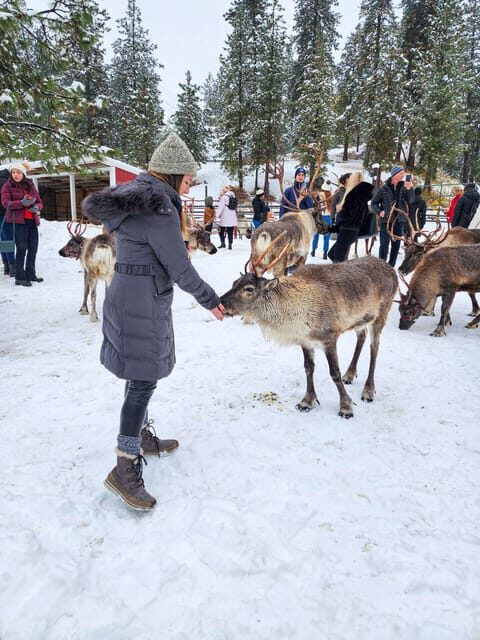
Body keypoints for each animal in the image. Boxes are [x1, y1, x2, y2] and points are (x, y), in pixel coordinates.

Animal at [220, 255, 398, 418]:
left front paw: (346, 407)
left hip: (381, 314)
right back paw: (349, 374)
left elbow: (334, 373)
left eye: (249, 289)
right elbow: (308, 368)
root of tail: (392, 269)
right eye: (234, 283)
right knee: (362, 336)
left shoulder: (329, 337)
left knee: (374, 347)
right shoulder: (305, 341)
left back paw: (368, 391)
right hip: (360, 321)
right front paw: (307, 401)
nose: (221, 303)